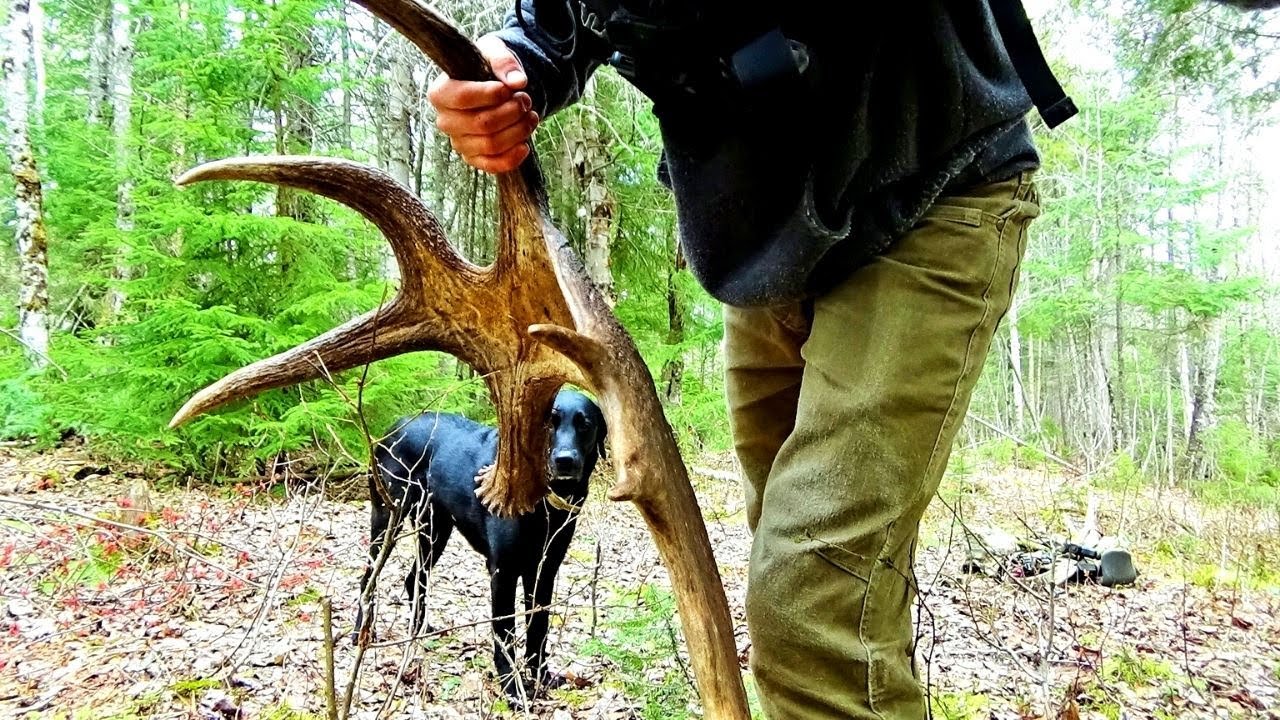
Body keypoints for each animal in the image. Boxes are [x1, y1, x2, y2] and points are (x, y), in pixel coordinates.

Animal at [165, 0, 750, 717]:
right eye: (549, 422)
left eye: (587, 423)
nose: (563, 466)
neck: (544, 517)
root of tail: (391, 430)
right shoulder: (502, 563)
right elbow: (502, 635)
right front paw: (508, 692)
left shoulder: (548, 566)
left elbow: (537, 632)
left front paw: (539, 683)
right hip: (387, 507)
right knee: (373, 572)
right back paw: (364, 636)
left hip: (434, 524)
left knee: (415, 578)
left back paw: (415, 640)